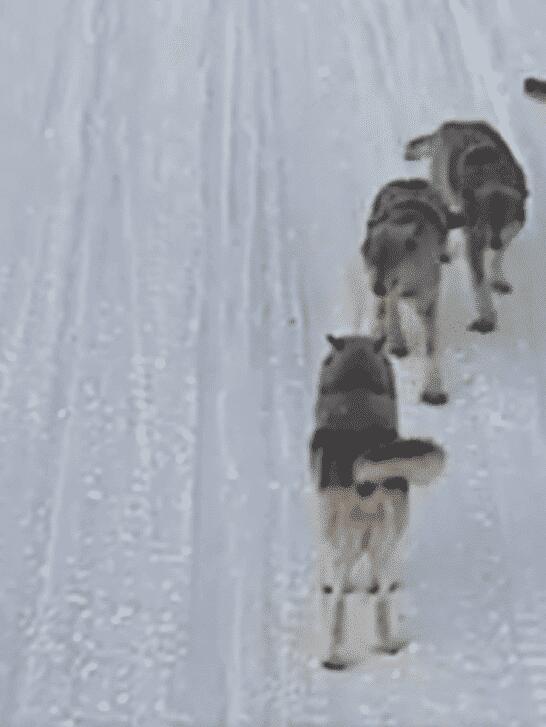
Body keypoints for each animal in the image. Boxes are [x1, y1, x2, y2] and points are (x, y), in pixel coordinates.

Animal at [309, 334, 446, 669]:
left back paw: (333, 655)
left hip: (338, 535)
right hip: (393, 529)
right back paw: (386, 641)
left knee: (339, 596)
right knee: (382, 592)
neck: (356, 387)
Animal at [361, 178, 463, 405]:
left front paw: (433, 390)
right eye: (373, 261)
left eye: (392, 262)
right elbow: (387, 314)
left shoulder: (428, 303)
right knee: (389, 311)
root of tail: (409, 181)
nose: (376, 287)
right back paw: (396, 341)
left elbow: (431, 348)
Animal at [405, 121, 528, 333]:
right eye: (484, 223)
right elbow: (481, 285)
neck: (493, 178)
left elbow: (497, 259)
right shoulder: (474, 244)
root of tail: (447, 126)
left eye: (505, 222)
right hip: (443, 193)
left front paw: (498, 279)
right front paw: (487, 317)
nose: (492, 243)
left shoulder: (507, 235)